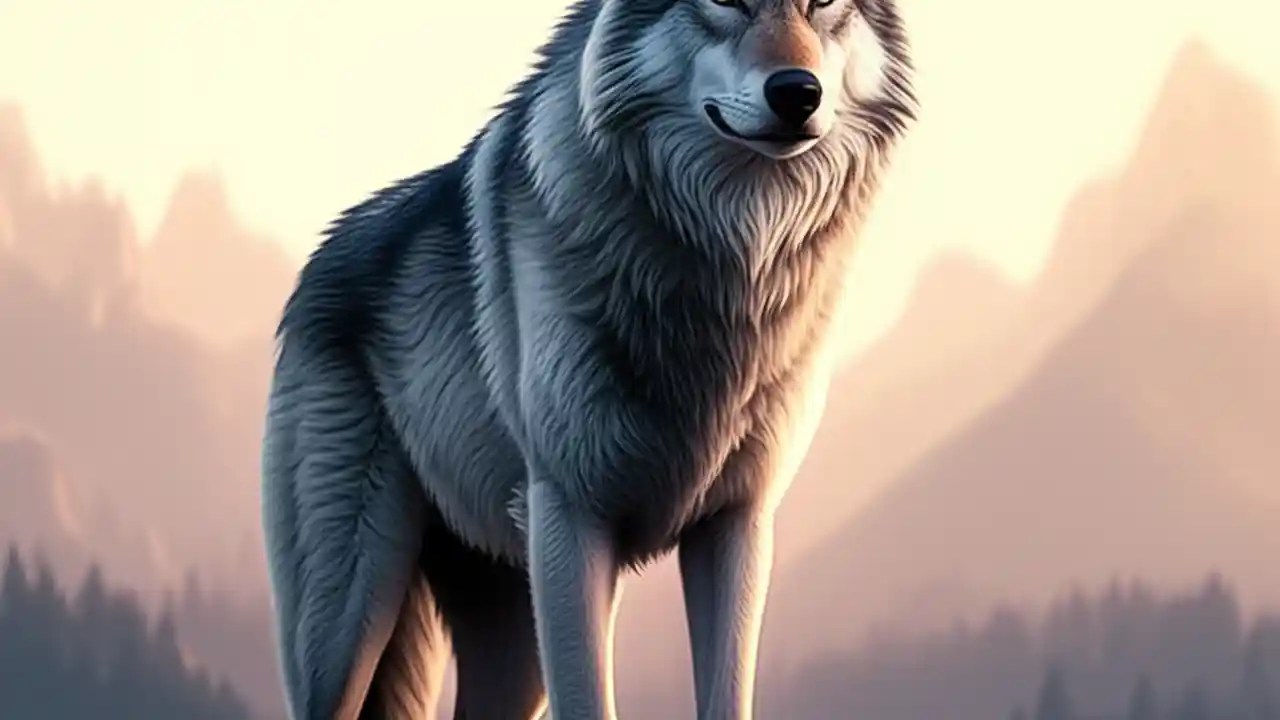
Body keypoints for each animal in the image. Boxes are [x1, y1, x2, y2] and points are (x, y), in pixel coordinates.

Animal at [262, 1, 914, 718]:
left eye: (823, 5)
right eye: (722, 4)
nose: (798, 92)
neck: (722, 268)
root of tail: (318, 259)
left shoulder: (737, 522)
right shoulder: (570, 518)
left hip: (510, 641)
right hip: (350, 617)